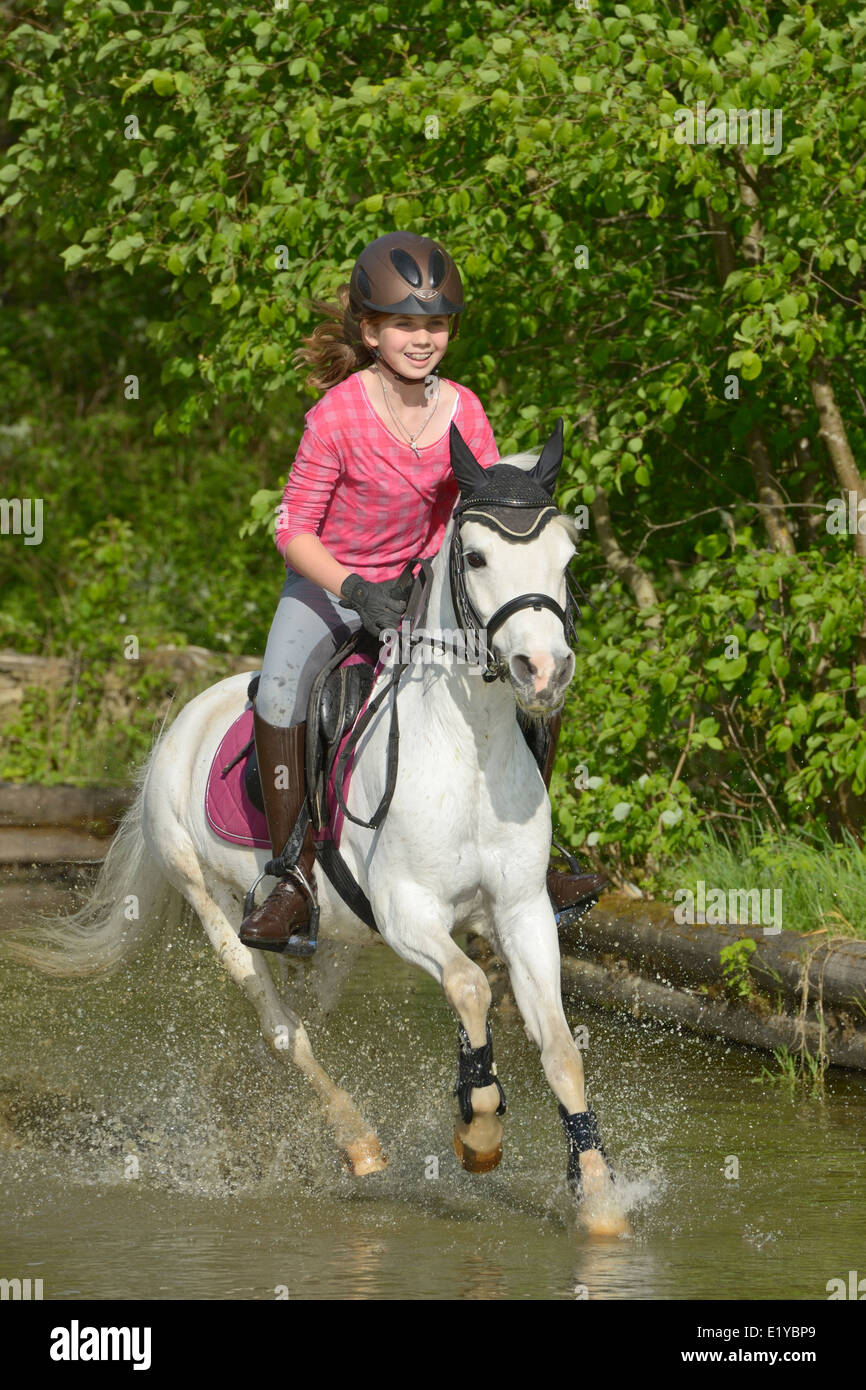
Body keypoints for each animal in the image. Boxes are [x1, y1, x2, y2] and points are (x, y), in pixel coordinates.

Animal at [5, 421, 629, 1237]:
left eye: (567, 556)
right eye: (476, 557)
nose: (543, 669)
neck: (468, 747)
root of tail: (181, 724)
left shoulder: (523, 911)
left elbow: (558, 1046)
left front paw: (599, 1197)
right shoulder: (407, 913)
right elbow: (468, 987)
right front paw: (480, 1130)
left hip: (334, 937)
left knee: (300, 1020)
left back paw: (238, 1104)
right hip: (210, 897)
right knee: (282, 1029)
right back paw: (356, 1142)